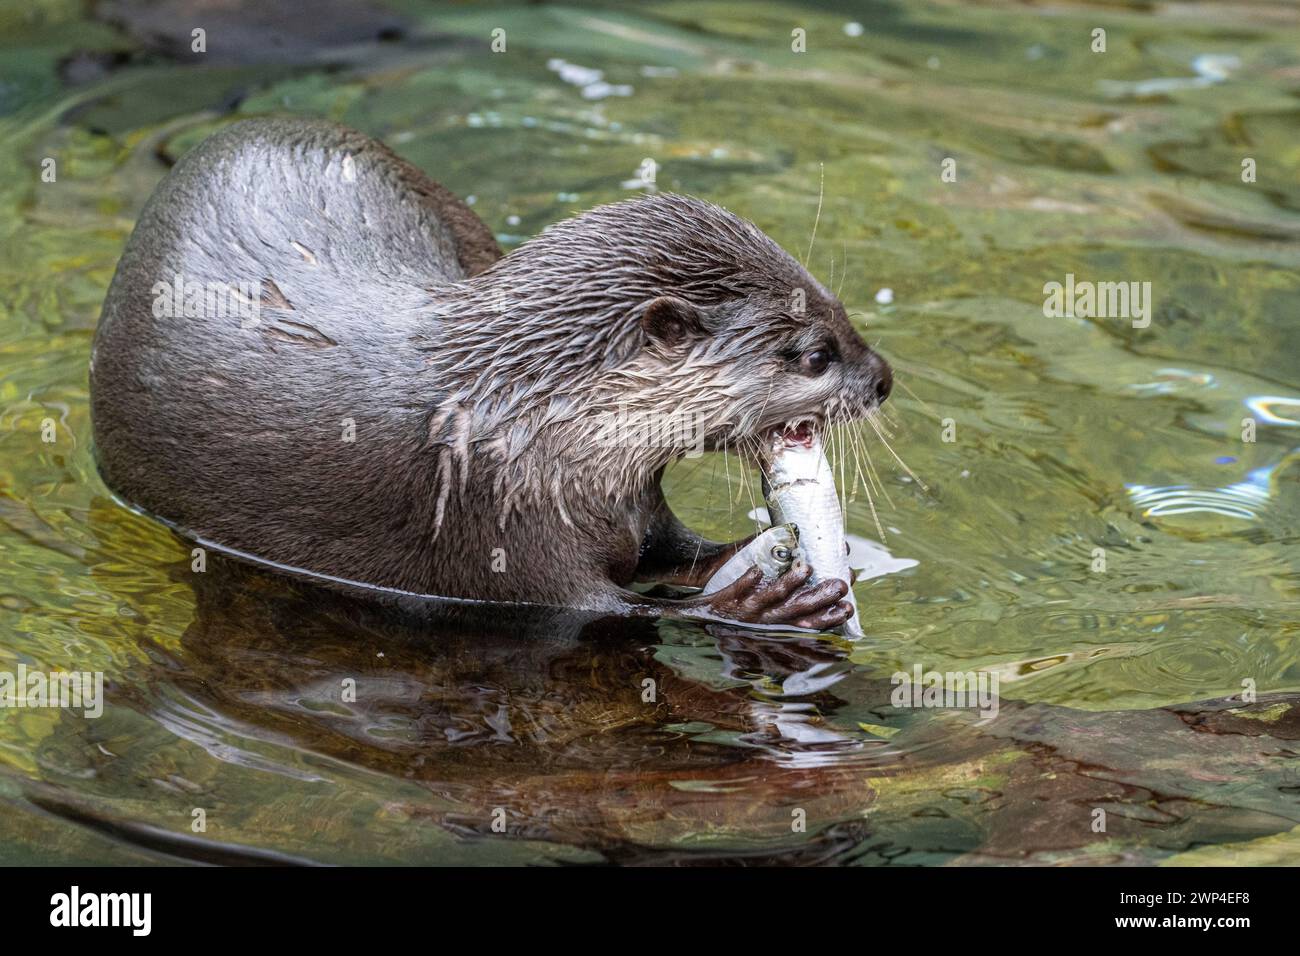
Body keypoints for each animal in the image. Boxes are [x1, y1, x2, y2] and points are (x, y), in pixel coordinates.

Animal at [89, 117, 893, 630]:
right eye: (814, 353)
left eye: (837, 304)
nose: (884, 379)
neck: (526, 424)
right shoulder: (497, 529)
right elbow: (613, 609)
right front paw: (756, 605)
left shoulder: (633, 499)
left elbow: (674, 552)